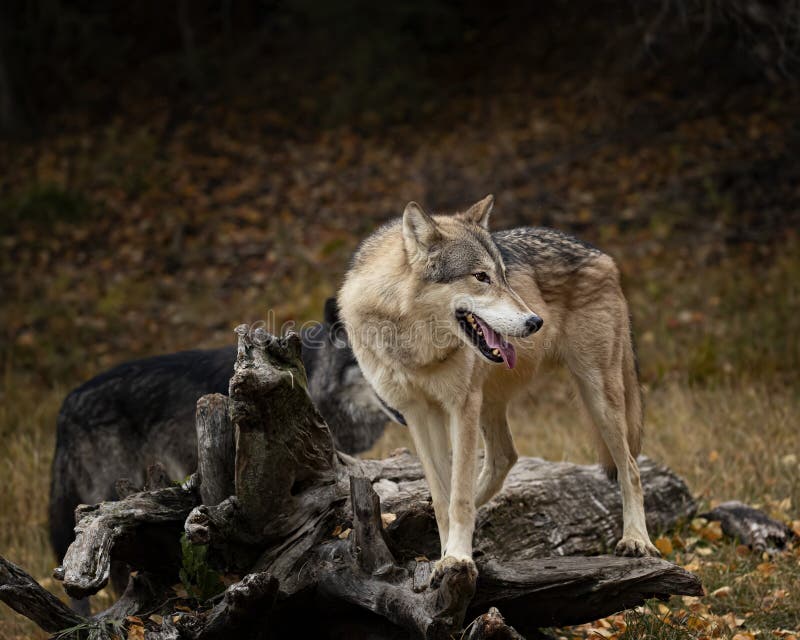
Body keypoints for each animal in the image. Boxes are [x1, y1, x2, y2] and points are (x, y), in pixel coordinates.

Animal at [339, 196, 659, 582]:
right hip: (491, 402)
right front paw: (445, 552)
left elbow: (459, 495)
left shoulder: (461, 405)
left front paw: (457, 556)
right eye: (481, 277)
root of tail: (601, 254)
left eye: (504, 275)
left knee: (631, 467)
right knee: (506, 457)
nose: (535, 321)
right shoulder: (419, 413)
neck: (413, 344)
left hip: (598, 395)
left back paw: (637, 540)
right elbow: (445, 495)